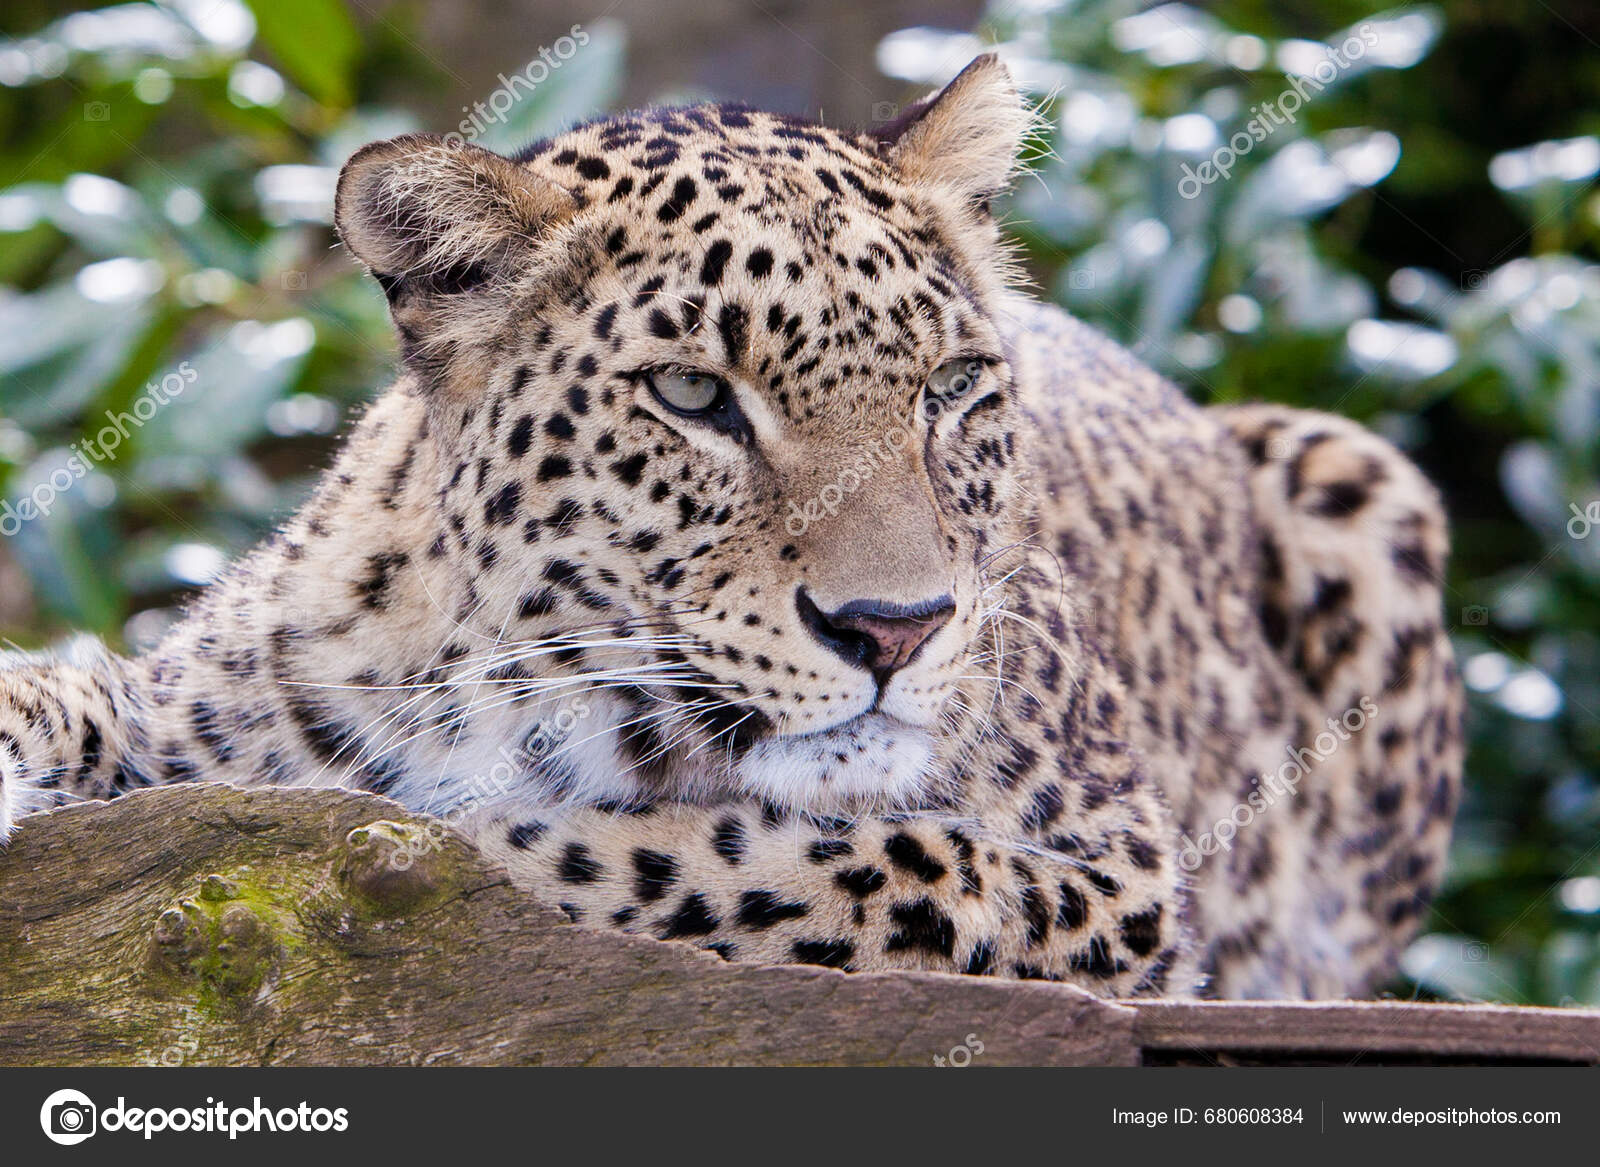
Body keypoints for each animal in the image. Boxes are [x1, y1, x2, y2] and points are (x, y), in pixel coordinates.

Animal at [0, 56, 1464, 999]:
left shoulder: (1122, 869)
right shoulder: (210, 701)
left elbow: (803, 864)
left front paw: (452, 846)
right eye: (697, 395)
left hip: (1357, 471)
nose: (897, 628)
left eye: (949, 388)